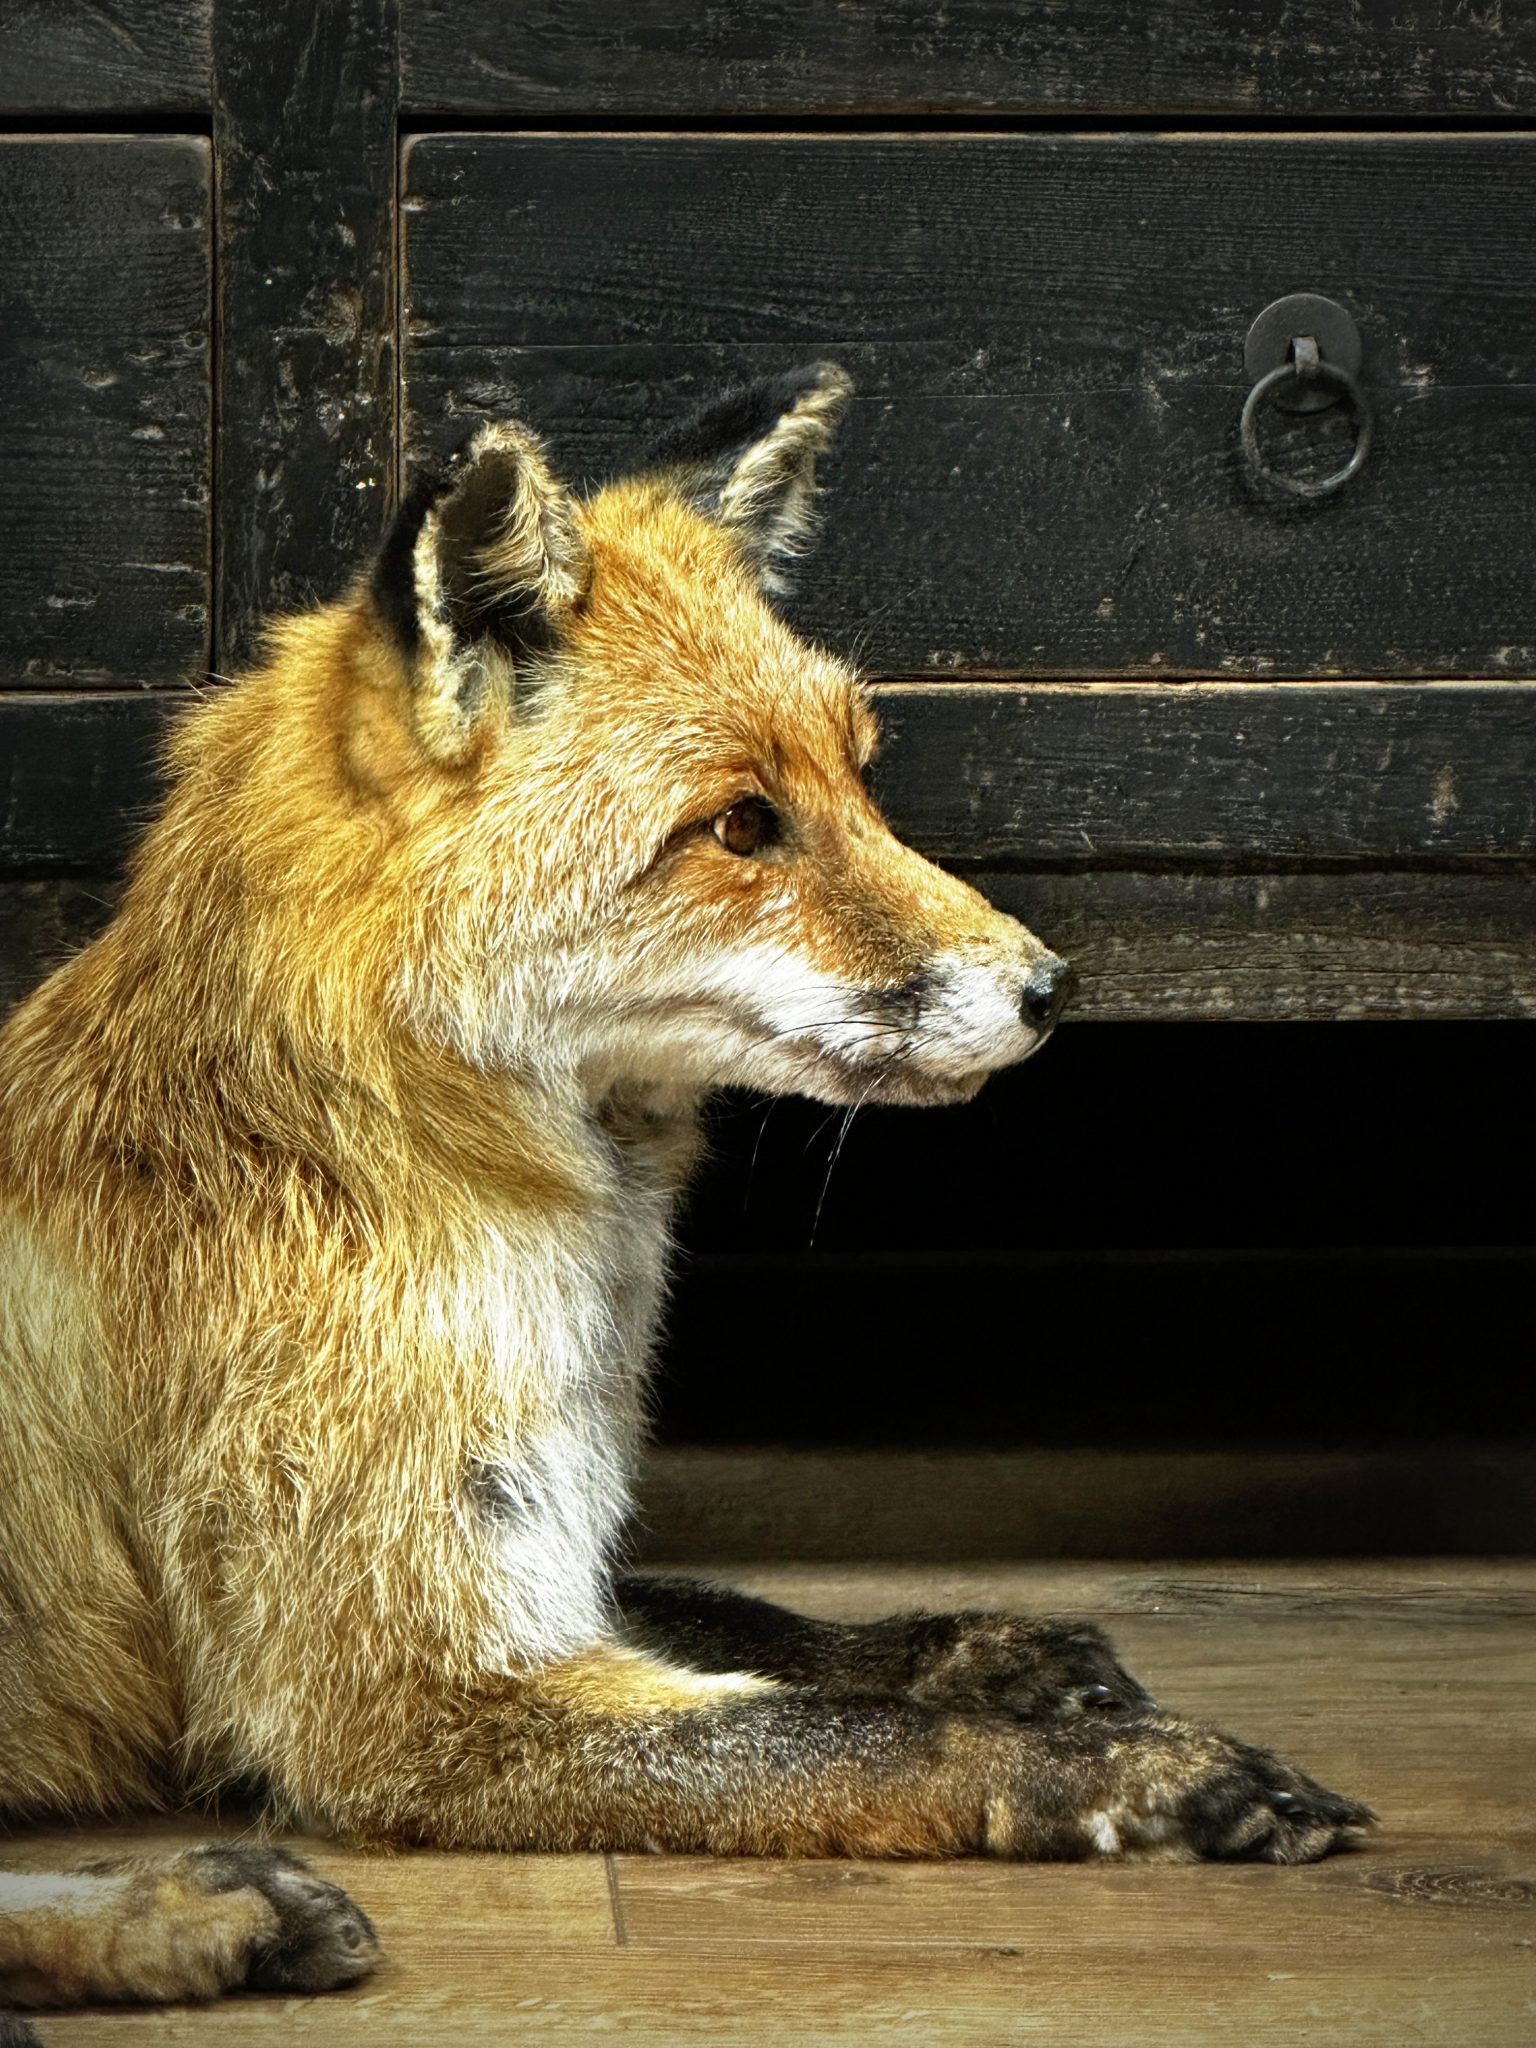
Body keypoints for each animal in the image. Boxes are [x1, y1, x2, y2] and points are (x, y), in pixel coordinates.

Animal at [0, 362, 1371, 2027]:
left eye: (858, 778)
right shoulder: (407, 1693)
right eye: (737, 827)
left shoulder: (538, 1563)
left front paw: (1000, 1654)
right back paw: (186, 1912)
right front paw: (1134, 1771)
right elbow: (844, 1735)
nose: (1050, 990)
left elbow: (761, 1623)